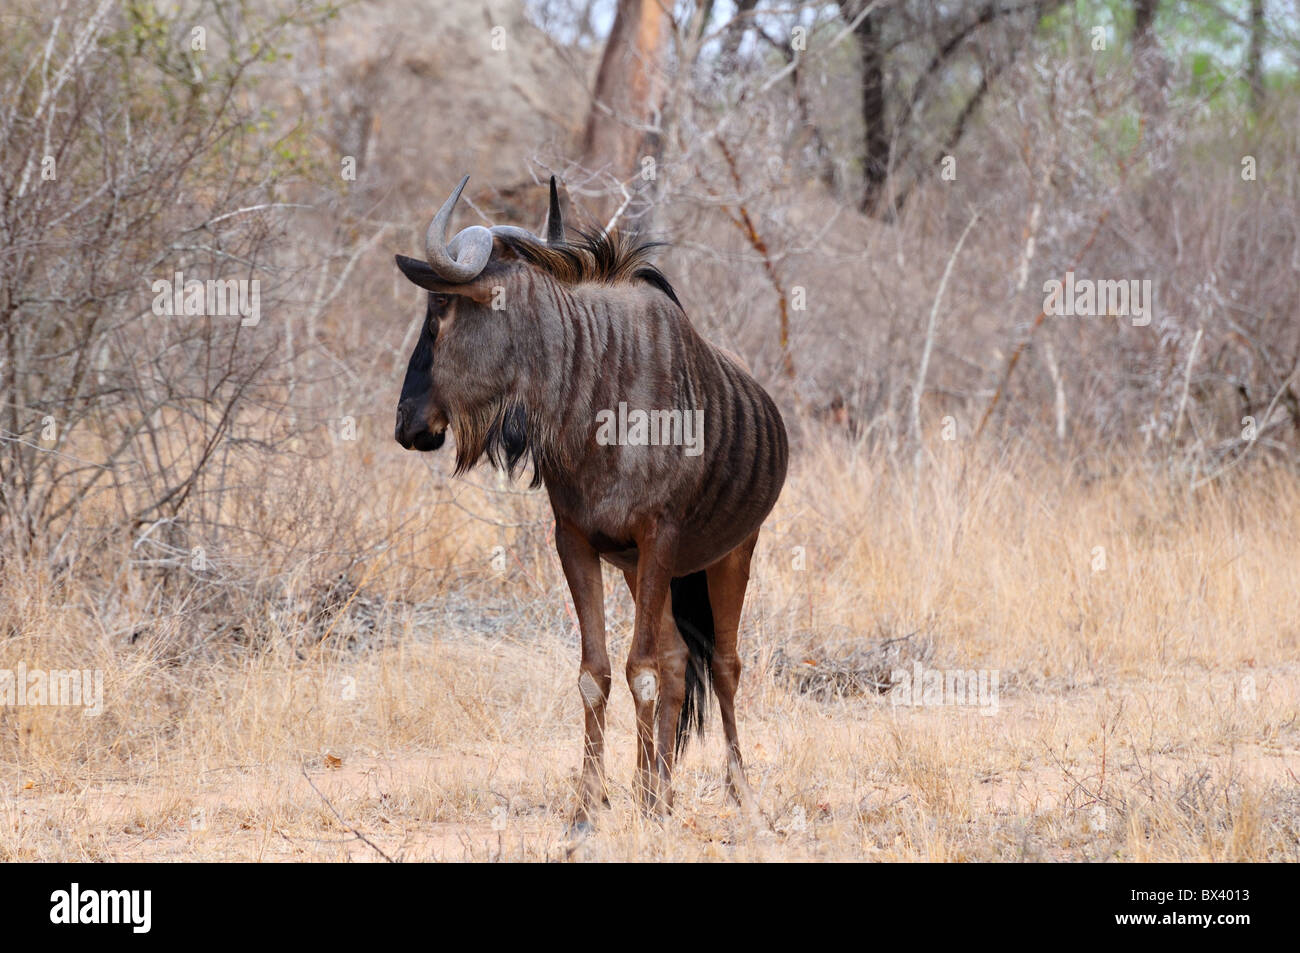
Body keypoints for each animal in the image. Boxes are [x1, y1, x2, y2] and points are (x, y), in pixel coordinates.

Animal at [393, 176, 788, 832]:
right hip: (640, 569)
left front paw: (642, 804)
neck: (596, 390)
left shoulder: (660, 538)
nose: (406, 425)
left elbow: (640, 671)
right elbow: (598, 673)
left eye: (438, 313)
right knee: (679, 659)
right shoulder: (578, 541)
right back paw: (661, 789)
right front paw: (591, 803)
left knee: (725, 665)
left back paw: (740, 794)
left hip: (732, 554)